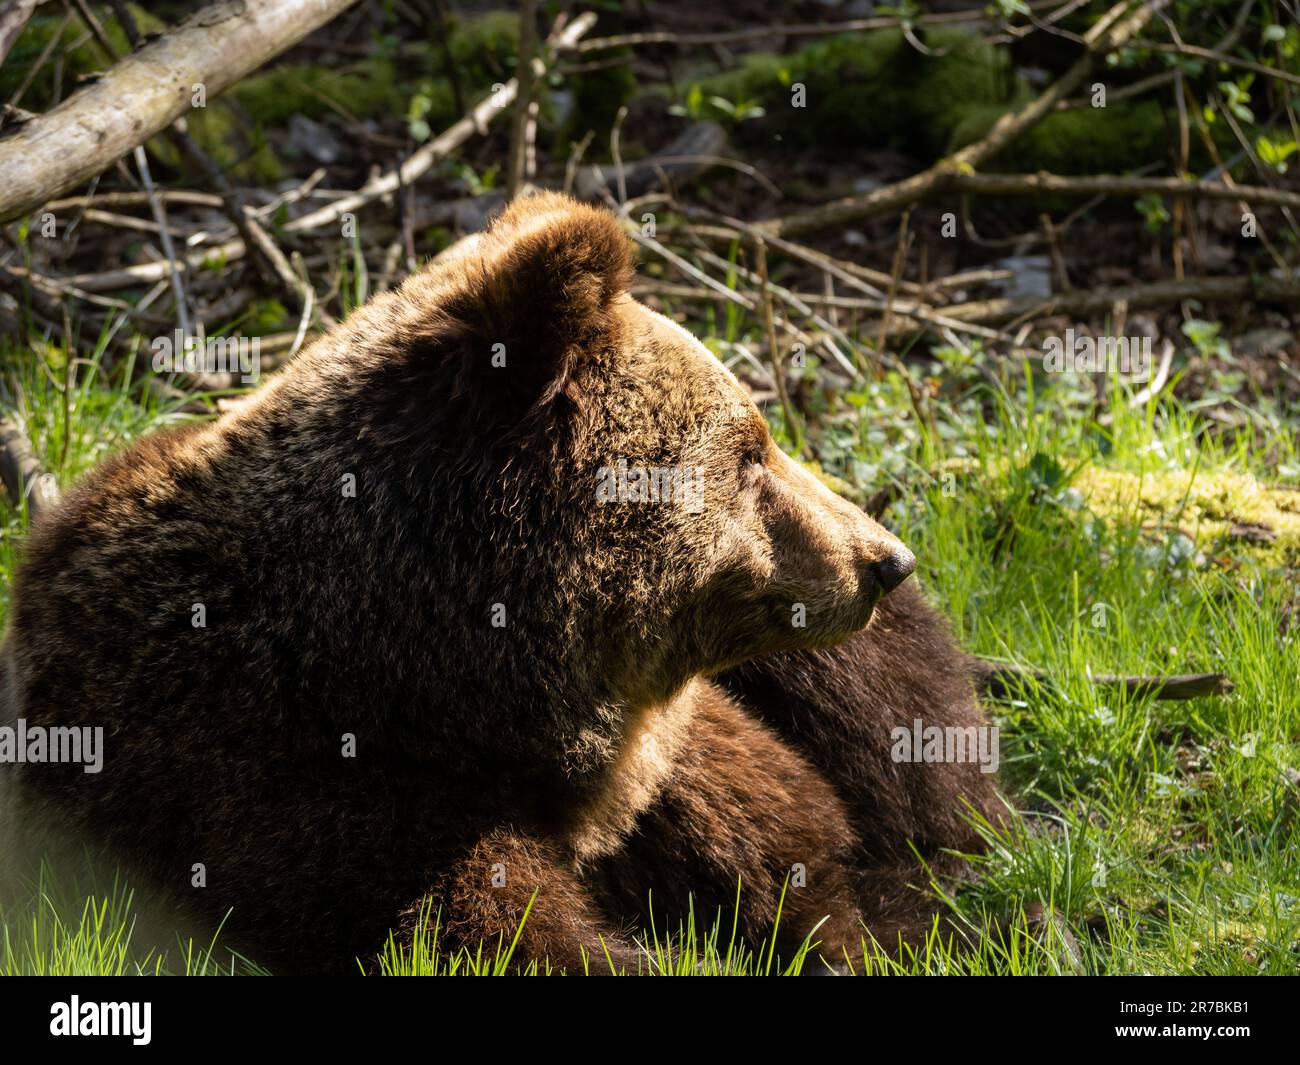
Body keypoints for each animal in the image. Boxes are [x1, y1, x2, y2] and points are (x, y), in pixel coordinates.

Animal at [0, 192, 1002, 974]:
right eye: (749, 450)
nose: (887, 559)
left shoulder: (680, 759)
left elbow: (796, 839)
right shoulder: (299, 796)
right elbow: (499, 933)